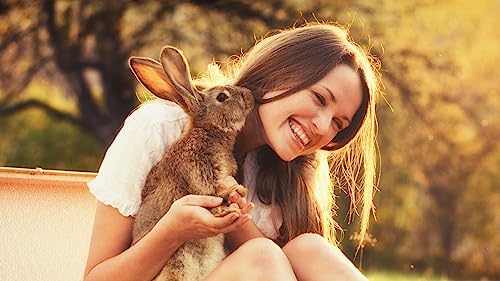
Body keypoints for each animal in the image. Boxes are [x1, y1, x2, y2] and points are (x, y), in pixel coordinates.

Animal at [129, 46, 254, 280]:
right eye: (222, 96)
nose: (250, 95)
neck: (208, 131)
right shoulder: (200, 173)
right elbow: (214, 197)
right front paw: (233, 200)